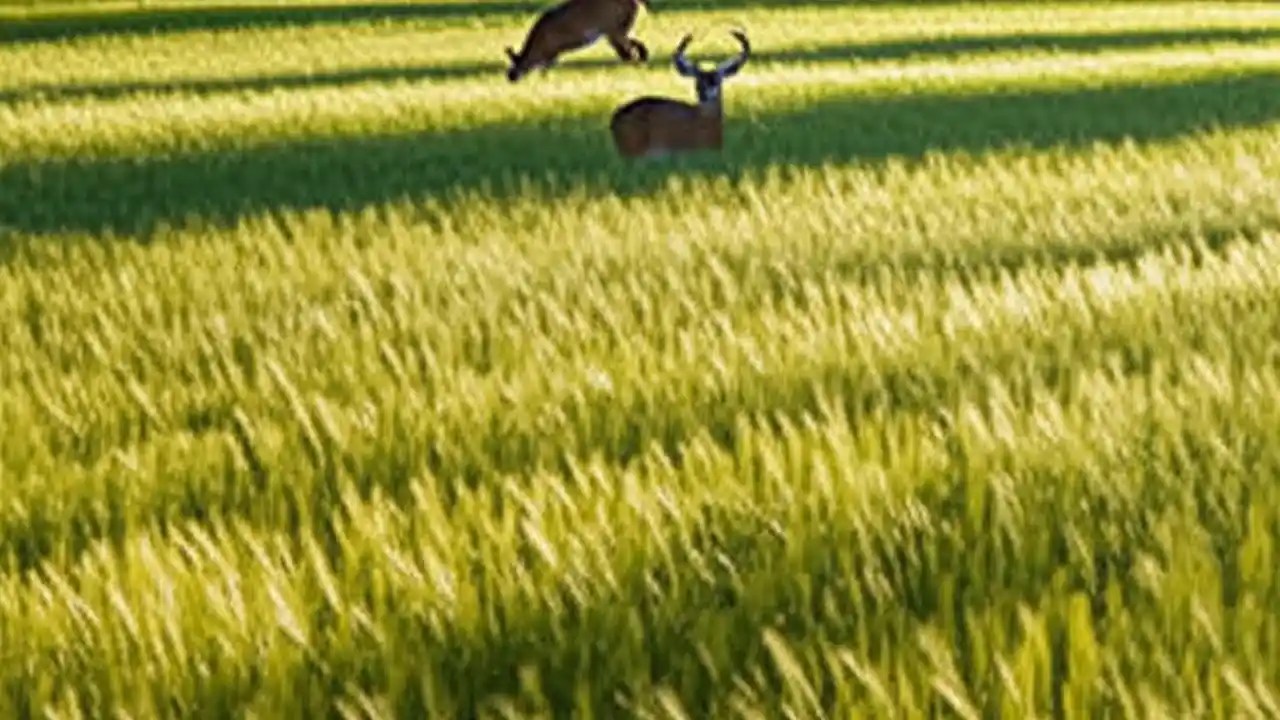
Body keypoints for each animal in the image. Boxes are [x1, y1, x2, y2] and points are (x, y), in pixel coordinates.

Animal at [504, 0, 651, 83]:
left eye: (516, 63)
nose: (510, 77)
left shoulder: (551, 50)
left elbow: (545, 67)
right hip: (618, 29)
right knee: (632, 47)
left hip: (613, 28)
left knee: (628, 51)